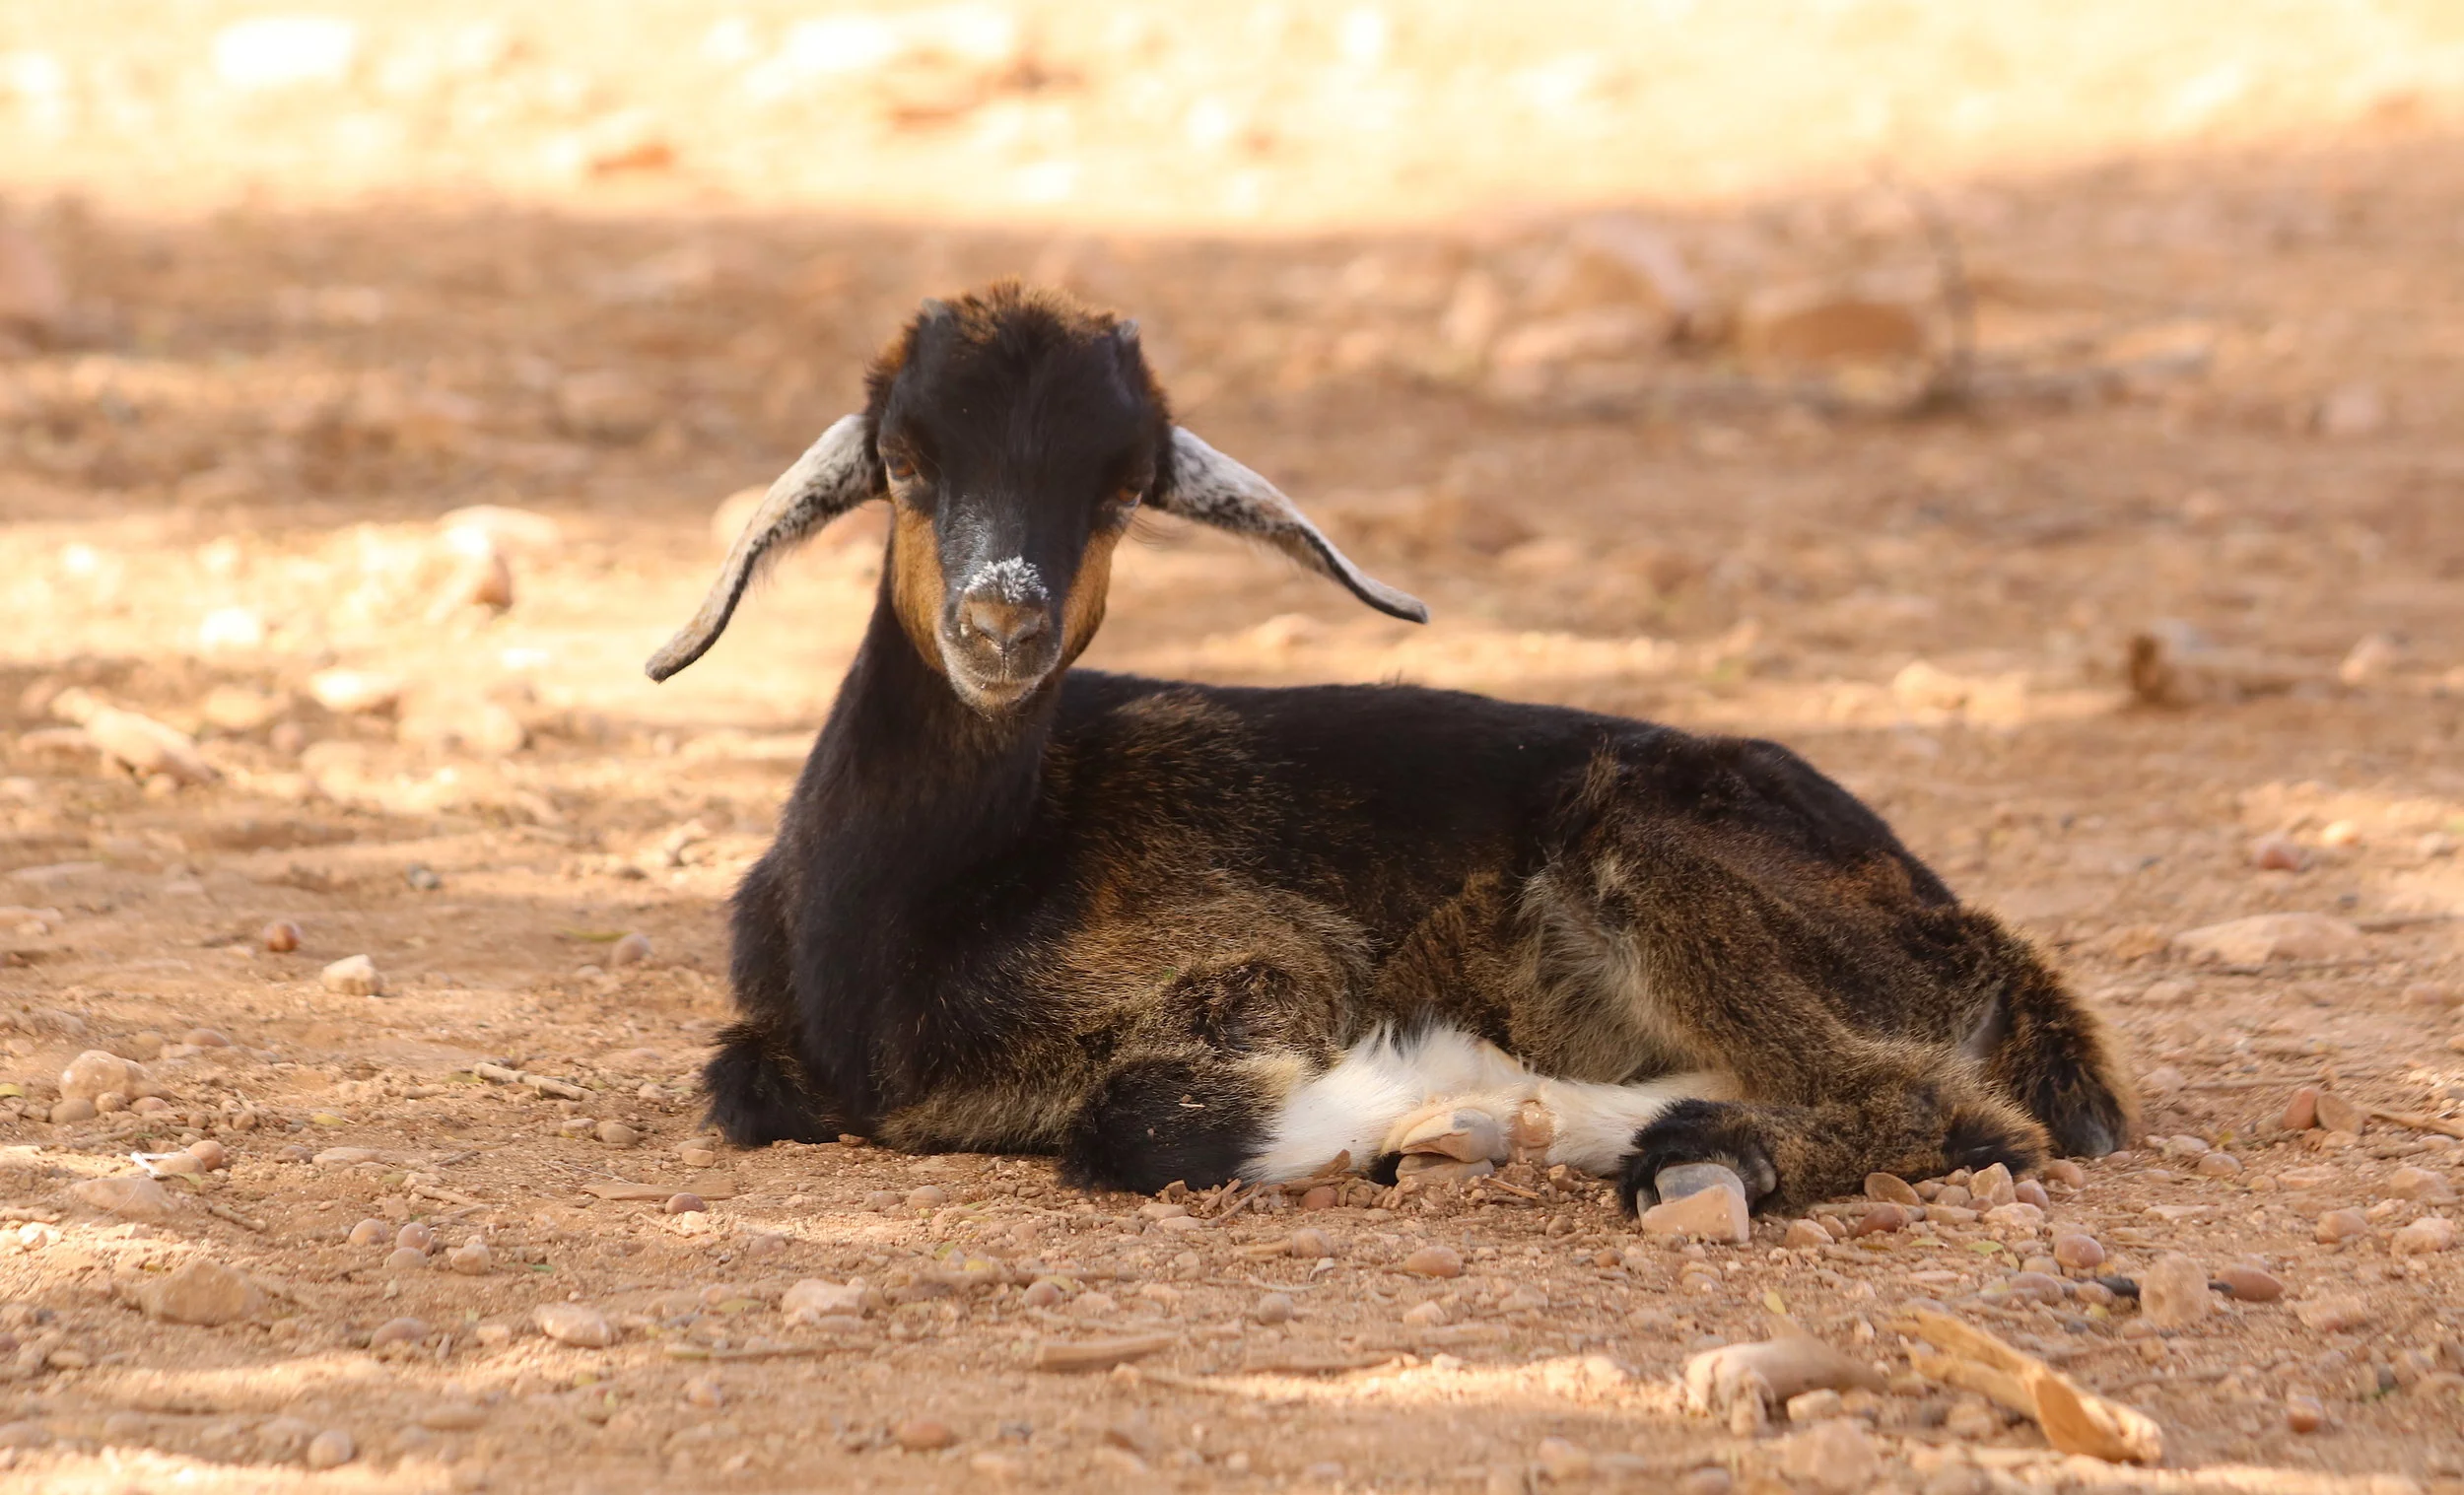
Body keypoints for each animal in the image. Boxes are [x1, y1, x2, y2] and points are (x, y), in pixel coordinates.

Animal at [646, 282, 2133, 1214]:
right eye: (904, 461)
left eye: (1122, 493)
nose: (1001, 623)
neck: (926, 888)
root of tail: (1982, 941)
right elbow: (738, 1082)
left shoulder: (1262, 960)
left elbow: (1137, 1118)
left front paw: (1434, 1092)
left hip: (1652, 842)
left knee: (1959, 1113)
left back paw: (1653, 1150)